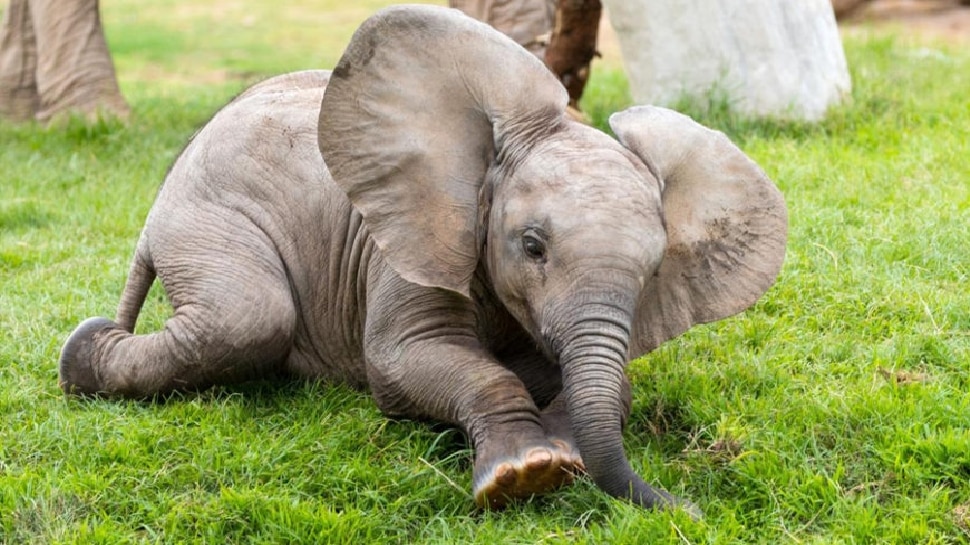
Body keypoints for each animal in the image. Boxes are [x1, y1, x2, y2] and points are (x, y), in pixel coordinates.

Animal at [59, 5, 787, 513]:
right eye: (532, 245)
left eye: (653, 271)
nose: (687, 508)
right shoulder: (407, 245)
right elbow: (406, 359)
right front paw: (525, 474)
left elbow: (608, 381)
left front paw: (562, 449)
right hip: (206, 215)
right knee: (246, 318)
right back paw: (81, 353)